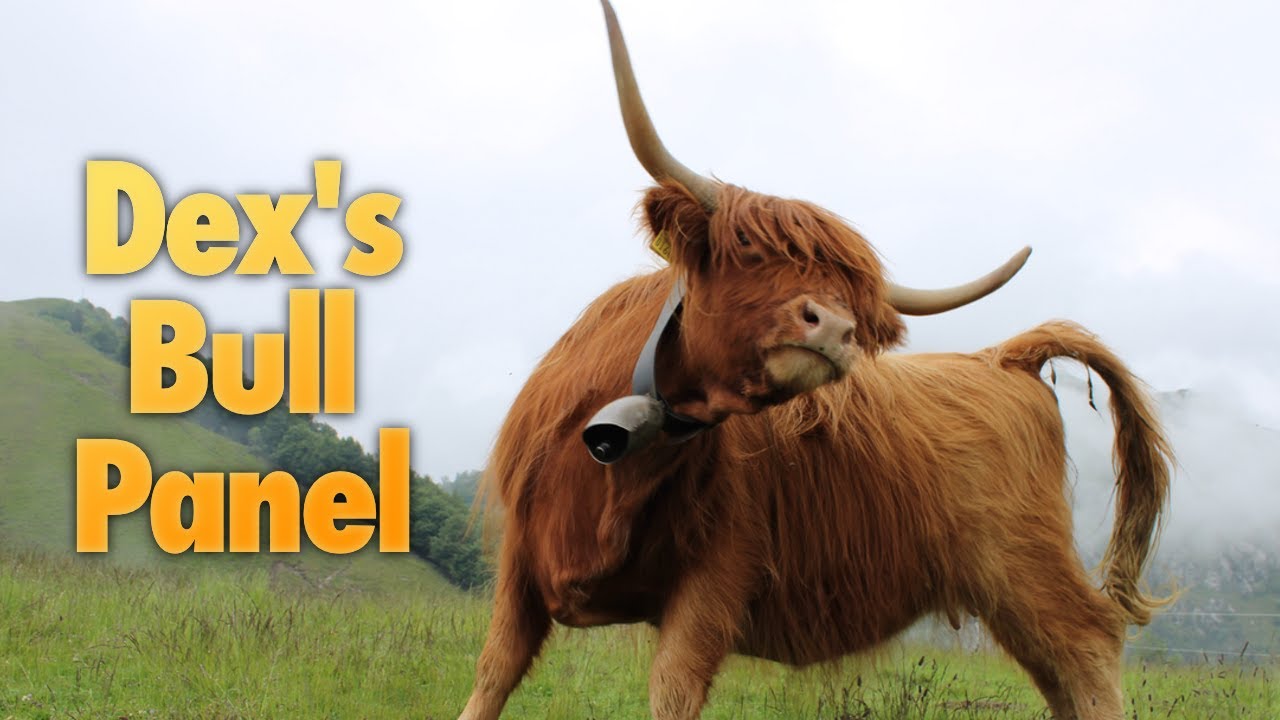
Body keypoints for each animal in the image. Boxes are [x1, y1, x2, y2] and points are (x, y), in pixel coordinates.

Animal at [458, 3, 1173, 719]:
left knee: (1088, 646)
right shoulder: (520, 569)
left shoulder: (716, 574)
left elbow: (672, 689)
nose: (836, 327)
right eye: (747, 248)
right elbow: (492, 674)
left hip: (1026, 563)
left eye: (853, 295)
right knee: (1060, 677)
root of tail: (1005, 357)